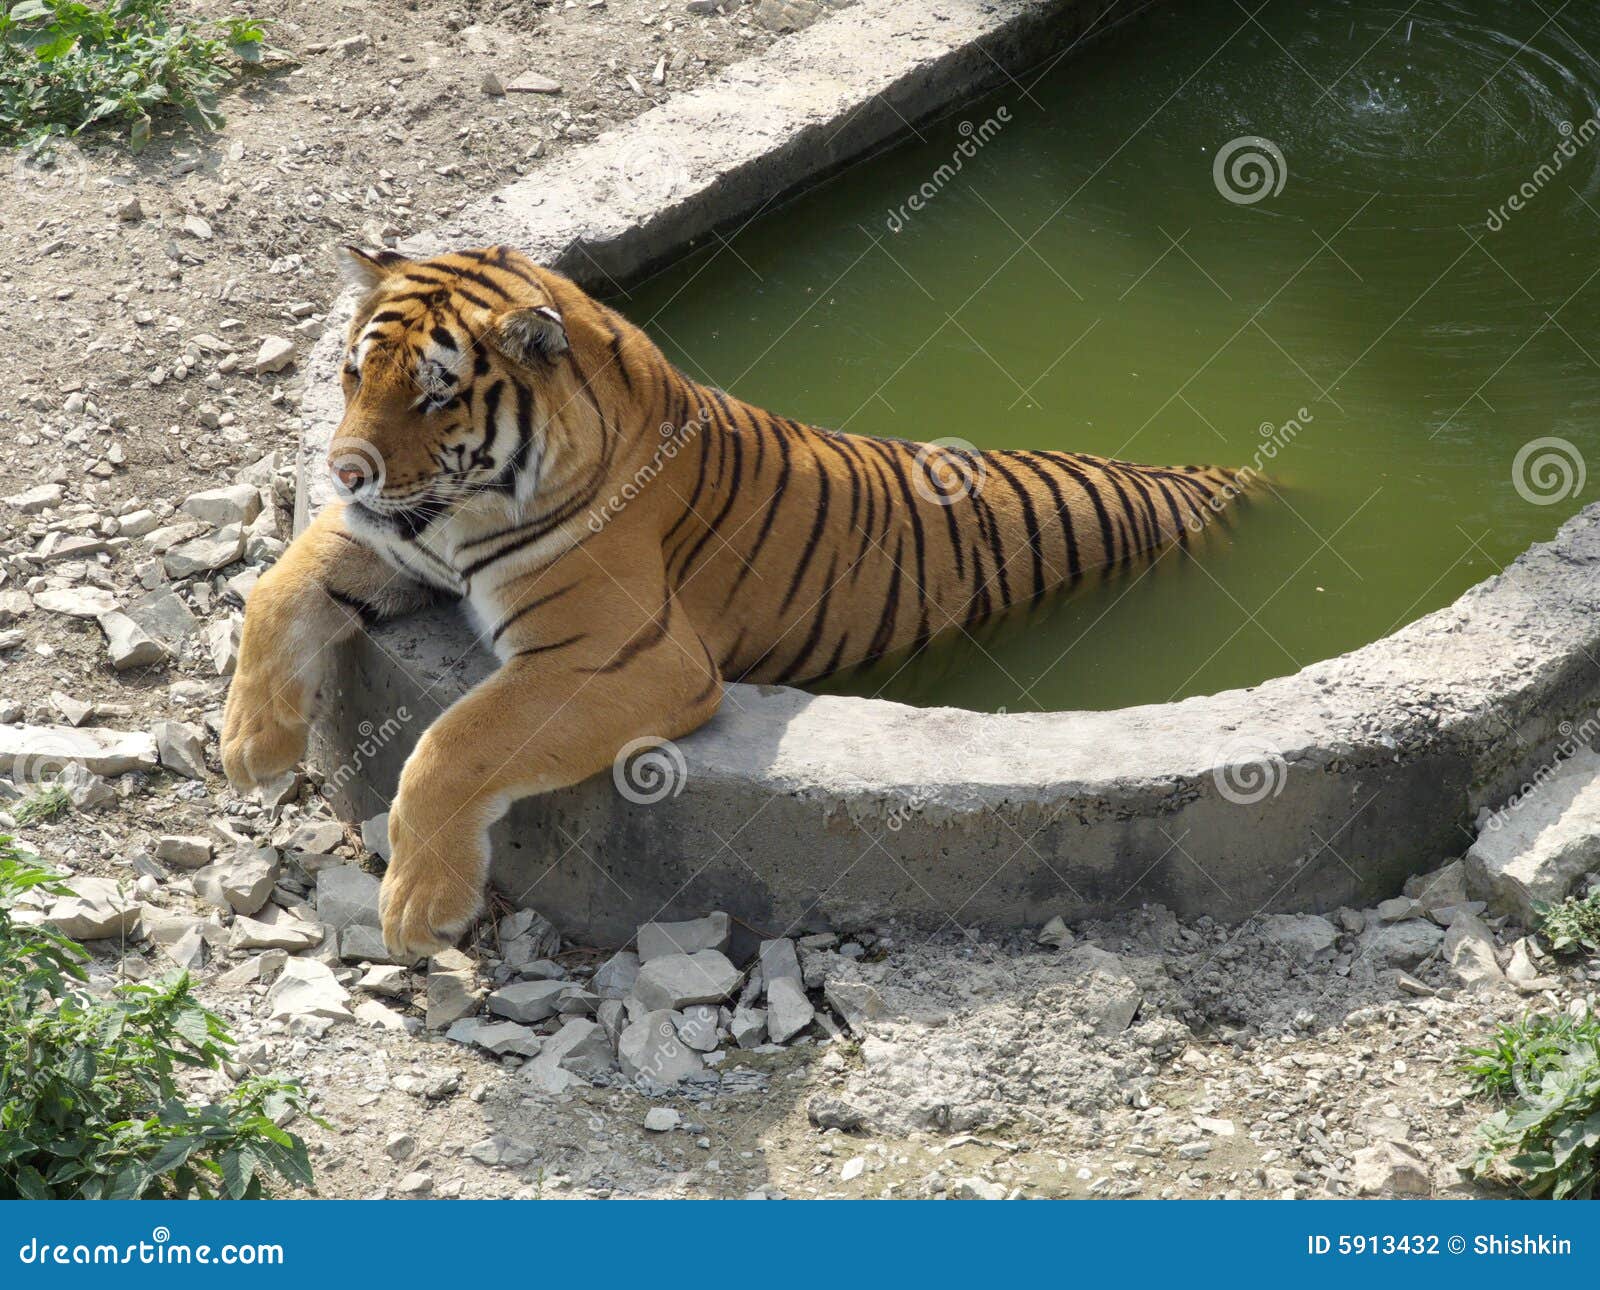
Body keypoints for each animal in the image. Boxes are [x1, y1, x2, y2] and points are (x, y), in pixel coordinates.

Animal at [220, 244, 1249, 959]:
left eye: (437, 398)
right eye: (355, 374)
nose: (344, 470)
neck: (462, 518)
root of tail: (1236, 477)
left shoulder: (624, 653)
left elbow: (453, 740)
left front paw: (418, 912)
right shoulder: (392, 538)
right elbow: (274, 589)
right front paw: (250, 748)